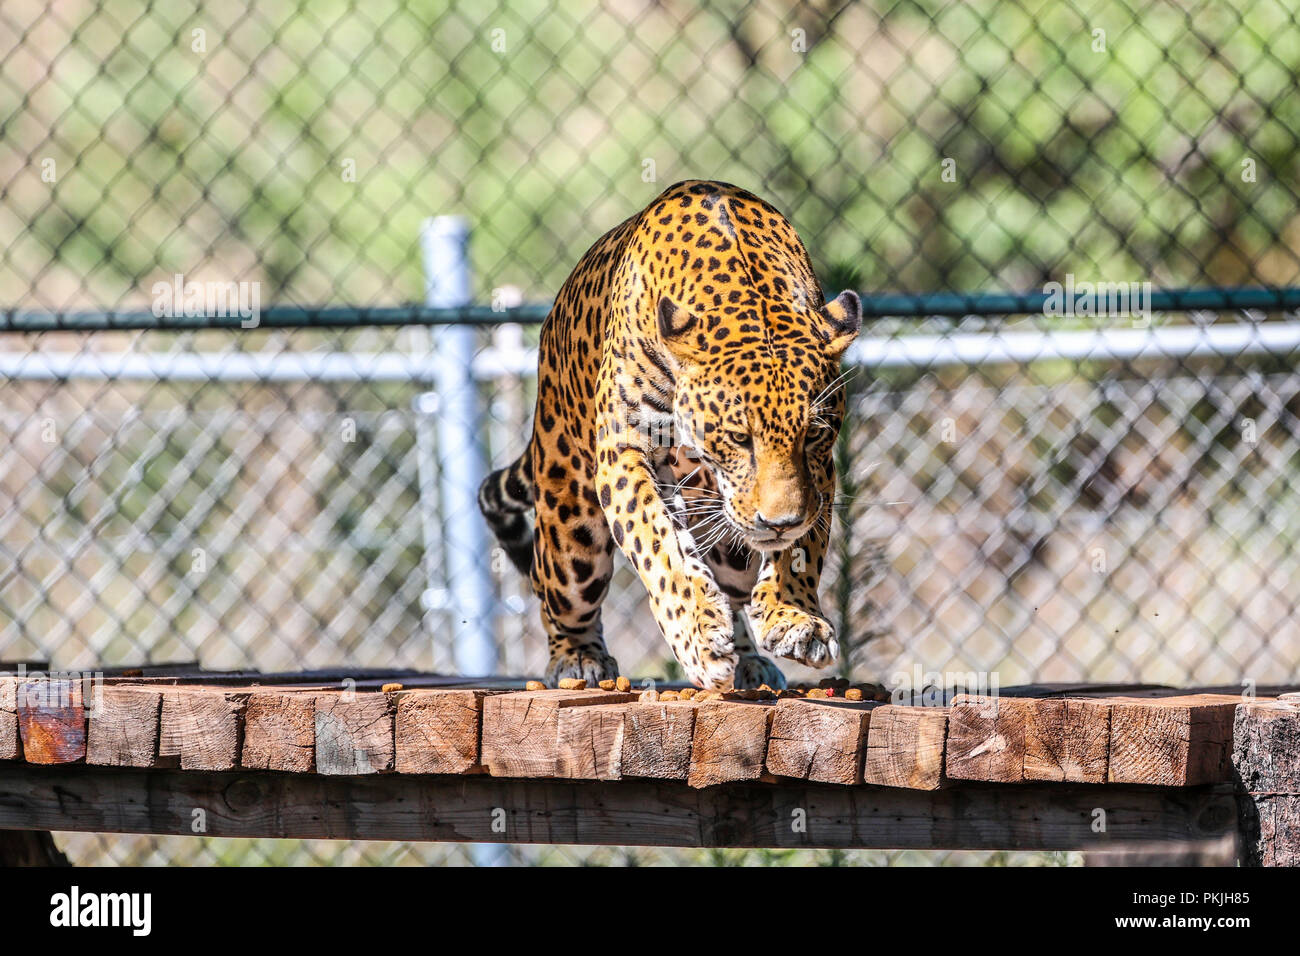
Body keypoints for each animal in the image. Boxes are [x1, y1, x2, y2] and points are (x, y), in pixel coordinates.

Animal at [478, 180, 861, 689]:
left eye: (814, 435)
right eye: (739, 438)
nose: (779, 522)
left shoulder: (819, 472)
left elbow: (804, 547)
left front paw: (794, 617)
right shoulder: (625, 451)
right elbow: (656, 539)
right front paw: (696, 634)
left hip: (727, 541)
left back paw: (749, 662)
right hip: (572, 526)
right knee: (558, 592)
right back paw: (578, 658)